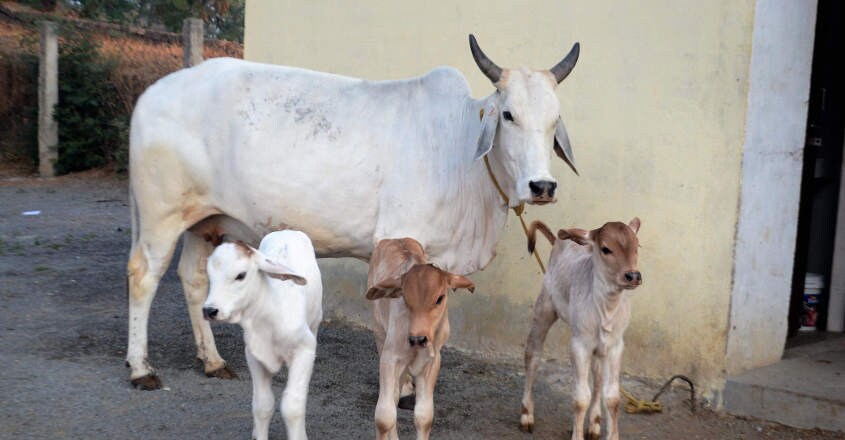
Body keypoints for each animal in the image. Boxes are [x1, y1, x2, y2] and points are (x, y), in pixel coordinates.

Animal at [126, 34, 580, 388]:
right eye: (508, 115)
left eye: (555, 119)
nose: (542, 186)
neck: (460, 150)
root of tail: (153, 91)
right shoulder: (398, 244)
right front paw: (403, 390)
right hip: (161, 214)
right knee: (143, 275)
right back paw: (140, 368)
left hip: (204, 221)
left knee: (193, 278)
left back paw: (212, 360)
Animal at [203, 230, 322, 440]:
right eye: (210, 275)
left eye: (240, 275)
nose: (210, 310)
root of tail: (287, 230)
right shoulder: (253, 355)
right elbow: (262, 405)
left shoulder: (305, 349)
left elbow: (292, 407)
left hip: (315, 323)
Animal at [365, 238, 475, 440]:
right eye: (405, 298)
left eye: (439, 298)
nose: (419, 339)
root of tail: (391, 239)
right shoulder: (390, 358)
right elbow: (384, 417)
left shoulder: (432, 361)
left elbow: (424, 416)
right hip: (379, 332)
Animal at [518, 219, 642, 440]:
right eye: (606, 249)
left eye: (637, 247)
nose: (633, 275)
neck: (606, 310)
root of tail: (559, 240)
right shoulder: (579, 344)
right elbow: (580, 397)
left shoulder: (615, 346)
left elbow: (612, 397)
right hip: (544, 308)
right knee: (532, 356)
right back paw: (526, 415)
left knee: (598, 375)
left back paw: (594, 423)